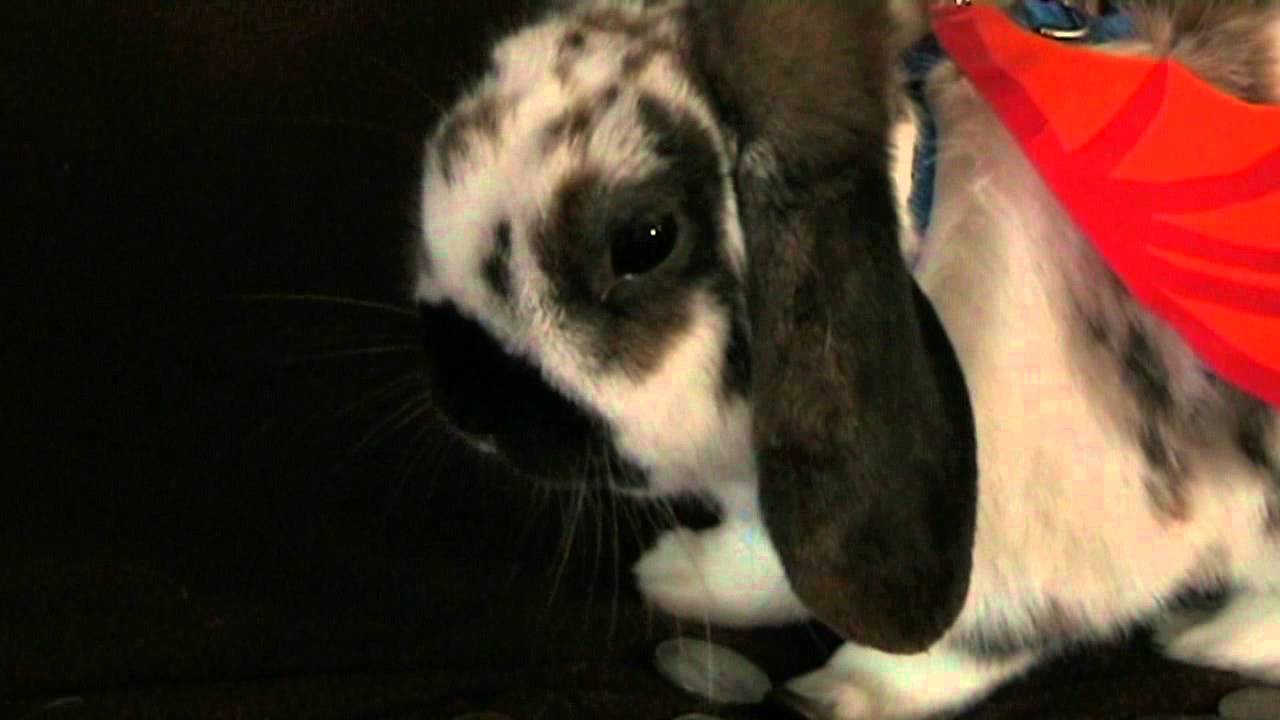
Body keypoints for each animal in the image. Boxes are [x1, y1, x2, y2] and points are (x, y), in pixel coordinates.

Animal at [412, 0, 1280, 717]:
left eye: (644, 241)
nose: (463, 401)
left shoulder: (1058, 536)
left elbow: (966, 640)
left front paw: (845, 692)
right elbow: (763, 557)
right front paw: (683, 574)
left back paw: (1213, 637)